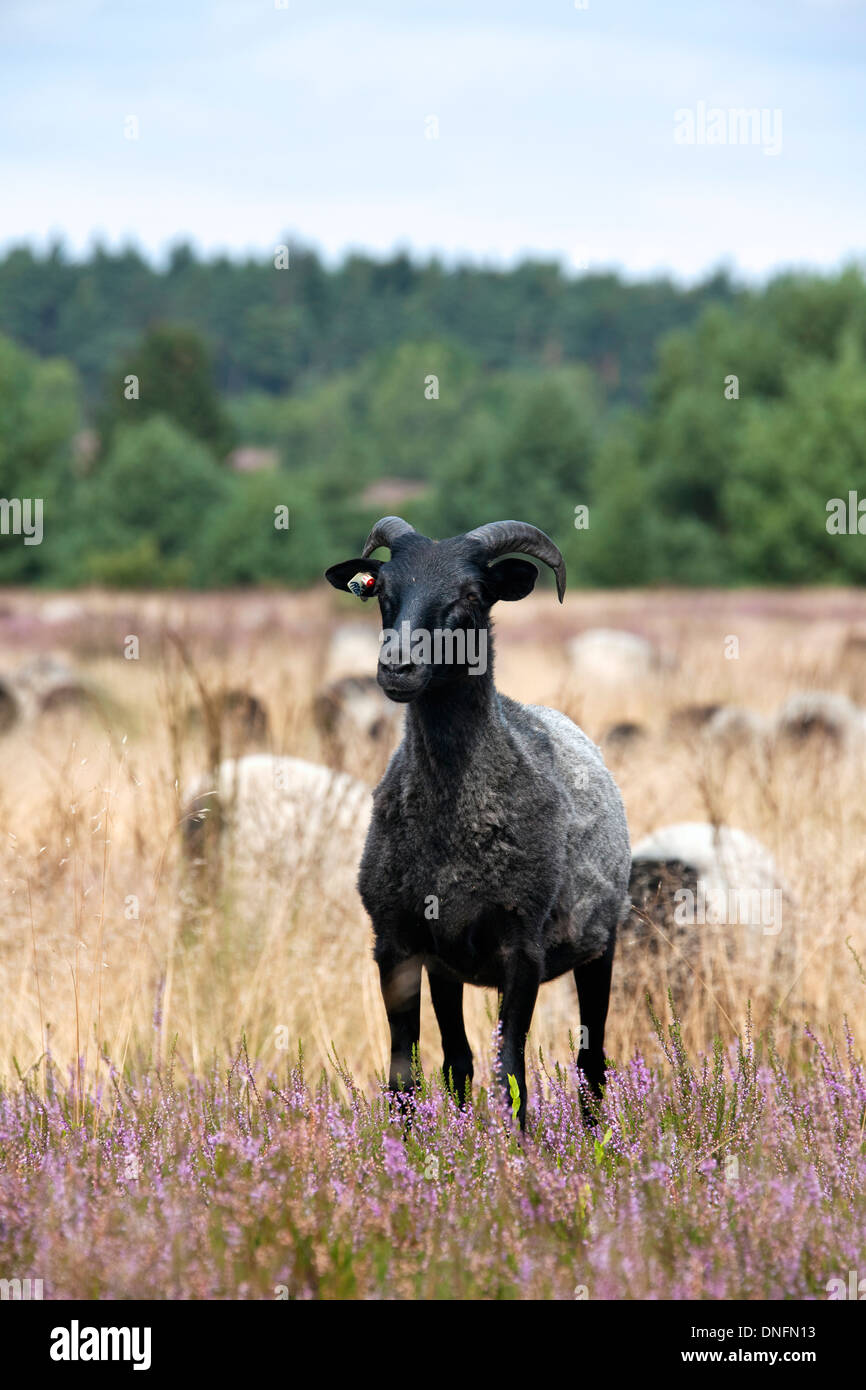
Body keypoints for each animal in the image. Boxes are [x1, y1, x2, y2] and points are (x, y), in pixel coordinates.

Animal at [325, 516, 632, 1128]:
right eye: (382, 591)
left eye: (470, 595)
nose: (397, 667)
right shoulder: (395, 942)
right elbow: (406, 1076)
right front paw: (411, 1148)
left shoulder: (523, 948)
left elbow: (511, 1075)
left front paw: (519, 1147)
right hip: (447, 966)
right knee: (458, 1062)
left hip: (598, 947)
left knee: (591, 1064)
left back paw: (597, 1141)